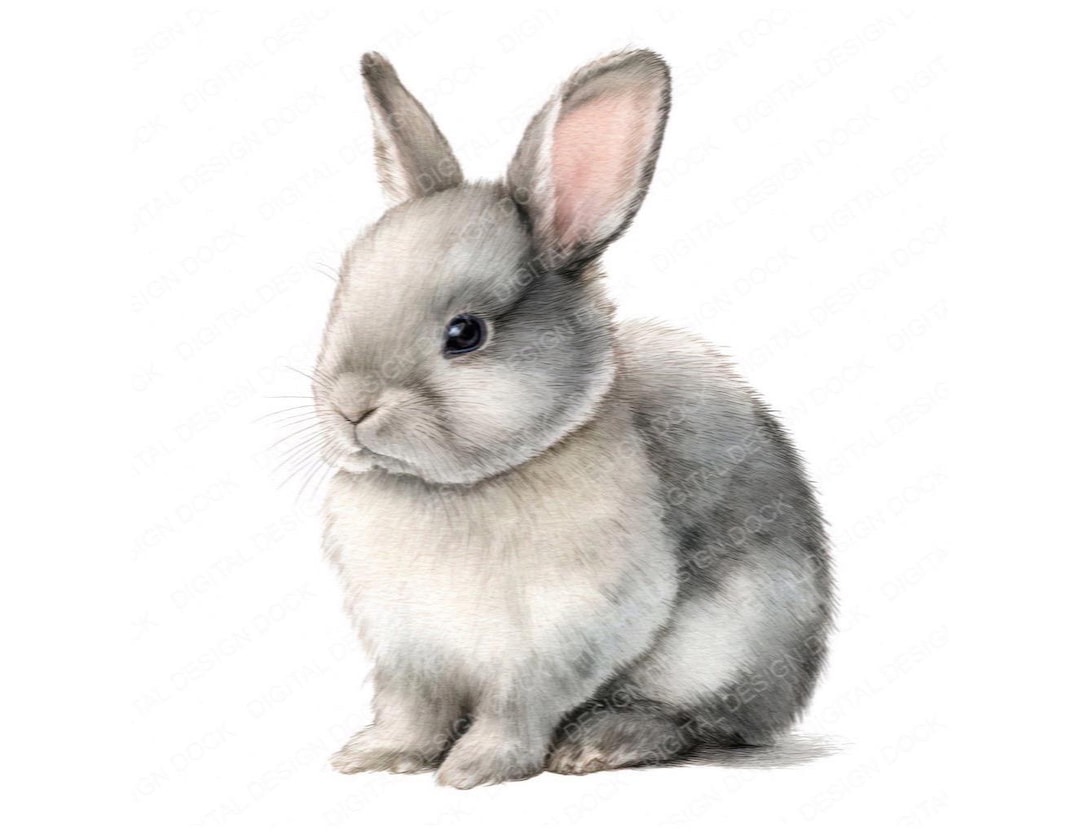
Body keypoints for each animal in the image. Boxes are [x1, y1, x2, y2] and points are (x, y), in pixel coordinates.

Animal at [315, 49, 833, 789]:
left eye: (464, 333)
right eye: (341, 296)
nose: (350, 406)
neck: (459, 487)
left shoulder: (564, 633)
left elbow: (517, 705)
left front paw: (475, 768)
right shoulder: (409, 646)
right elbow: (410, 709)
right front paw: (375, 758)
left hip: (732, 644)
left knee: (699, 721)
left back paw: (603, 742)